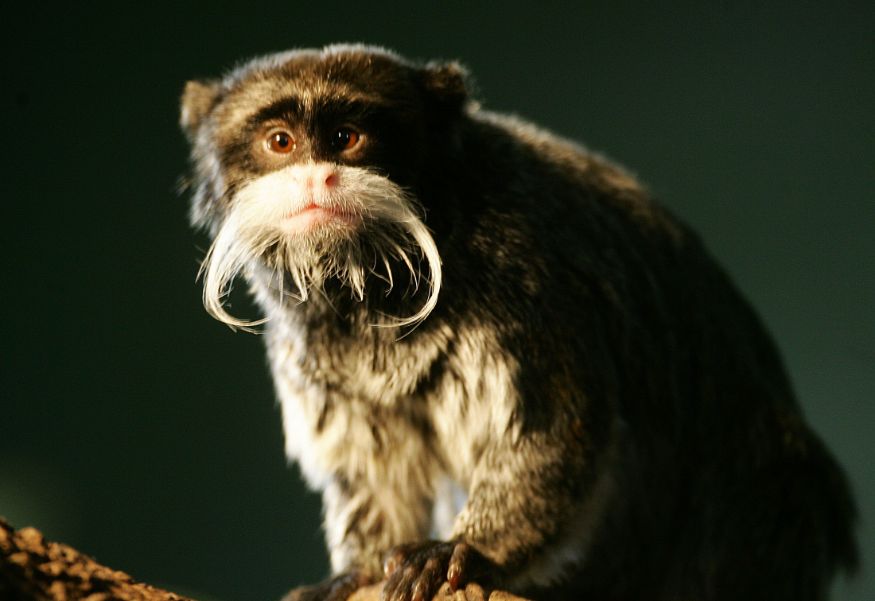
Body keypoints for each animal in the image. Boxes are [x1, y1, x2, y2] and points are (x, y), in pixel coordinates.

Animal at [179, 44, 858, 601]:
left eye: (347, 137)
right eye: (280, 142)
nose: (318, 176)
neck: (371, 288)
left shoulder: (527, 277)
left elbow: (557, 426)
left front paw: (467, 550)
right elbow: (373, 468)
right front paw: (358, 570)